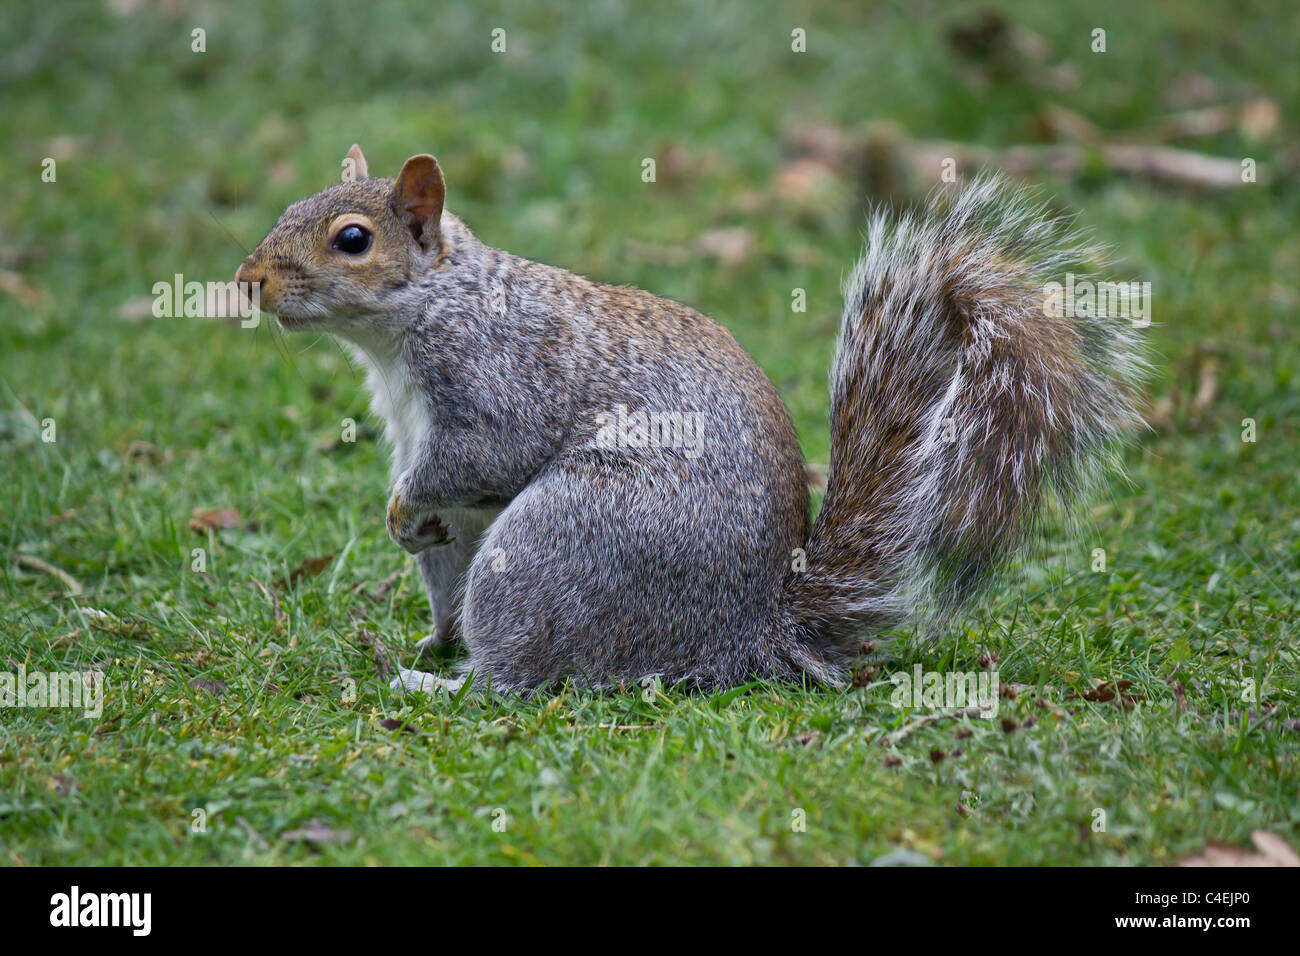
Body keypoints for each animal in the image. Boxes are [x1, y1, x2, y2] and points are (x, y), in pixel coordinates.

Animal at [235, 145, 1146, 696]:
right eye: (291, 203)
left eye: (352, 239)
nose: (249, 281)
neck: (418, 317)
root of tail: (751, 635)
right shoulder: (425, 452)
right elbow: (437, 504)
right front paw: (405, 535)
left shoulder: (498, 384)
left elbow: (480, 457)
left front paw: (399, 509)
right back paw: (431, 651)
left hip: (559, 542)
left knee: (520, 678)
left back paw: (443, 683)